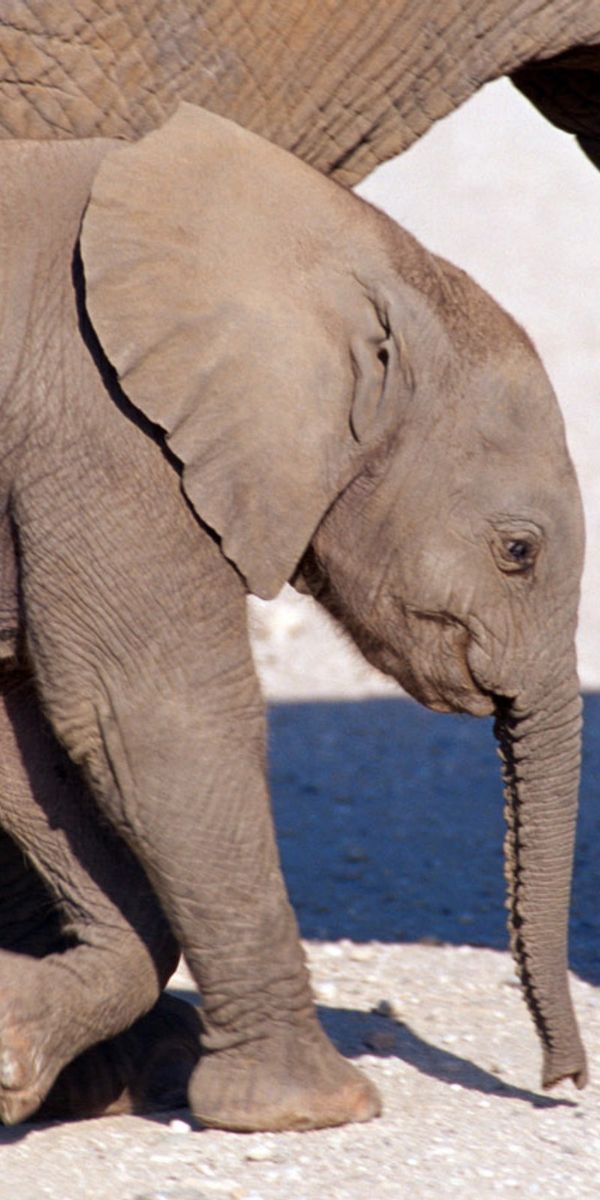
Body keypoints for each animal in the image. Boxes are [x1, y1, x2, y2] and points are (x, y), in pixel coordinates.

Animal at [0, 103, 586, 1129]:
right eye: (519, 552)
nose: (565, 1084)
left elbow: (30, 741)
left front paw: (17, 1038)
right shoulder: (102, 421)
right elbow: (152, 714)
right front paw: (312, 1108)